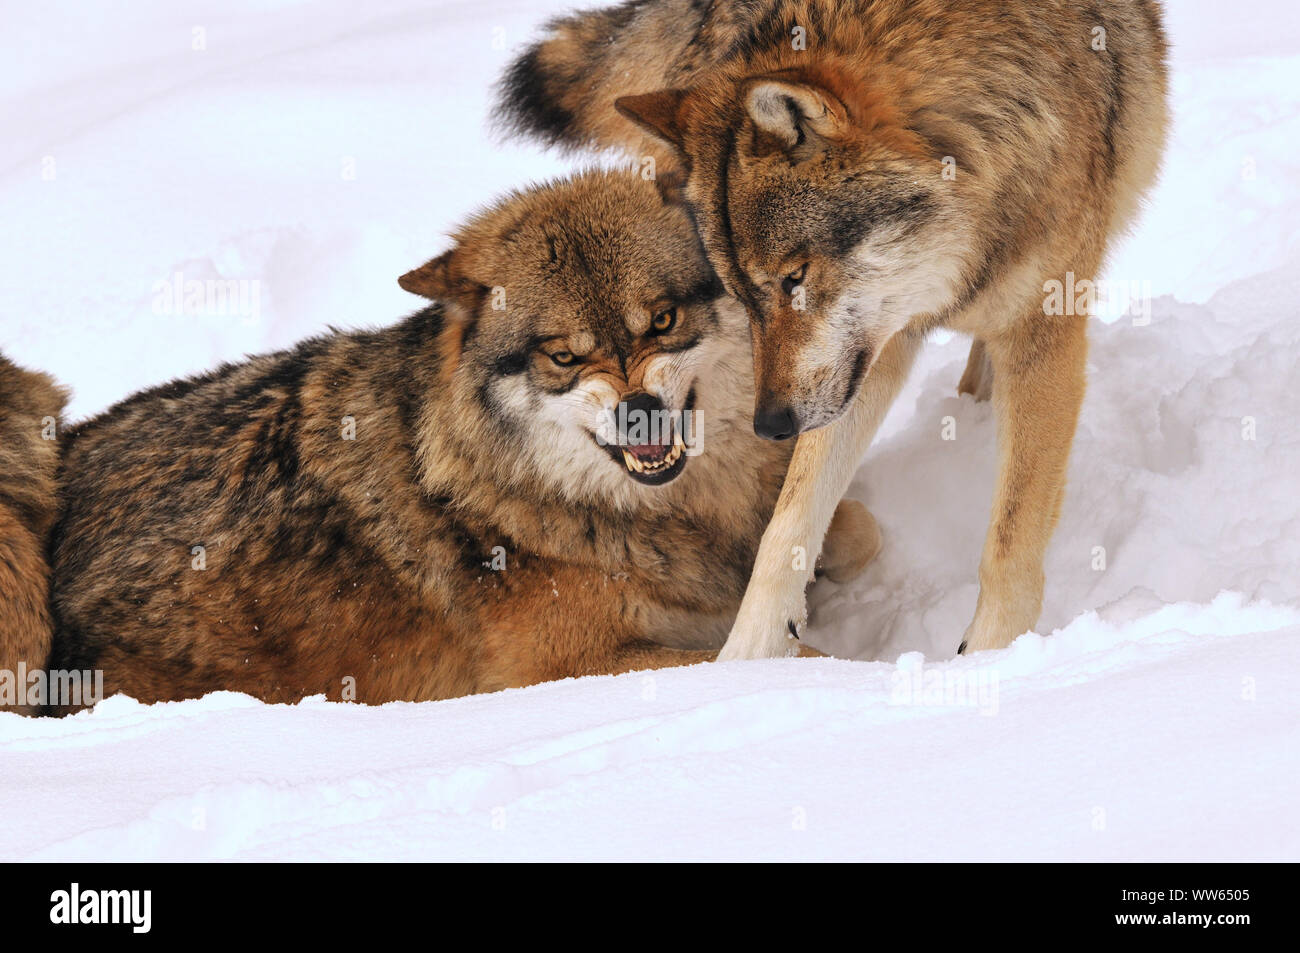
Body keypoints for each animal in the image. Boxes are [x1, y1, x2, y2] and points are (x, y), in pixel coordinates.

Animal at [37, 170, 878, 711]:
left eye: (662, 321)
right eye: (562, 356)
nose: (638, 411)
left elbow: (852, 531)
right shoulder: (563, 669)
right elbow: (788, 654)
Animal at [497, 0, 1169, 657]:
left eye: (794, 278)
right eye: (741, 292)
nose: (770, 425)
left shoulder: (1040, 331)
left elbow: (1009, 540)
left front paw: (993, 659)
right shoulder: (867, 352)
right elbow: (786, 524)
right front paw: (742, 663)